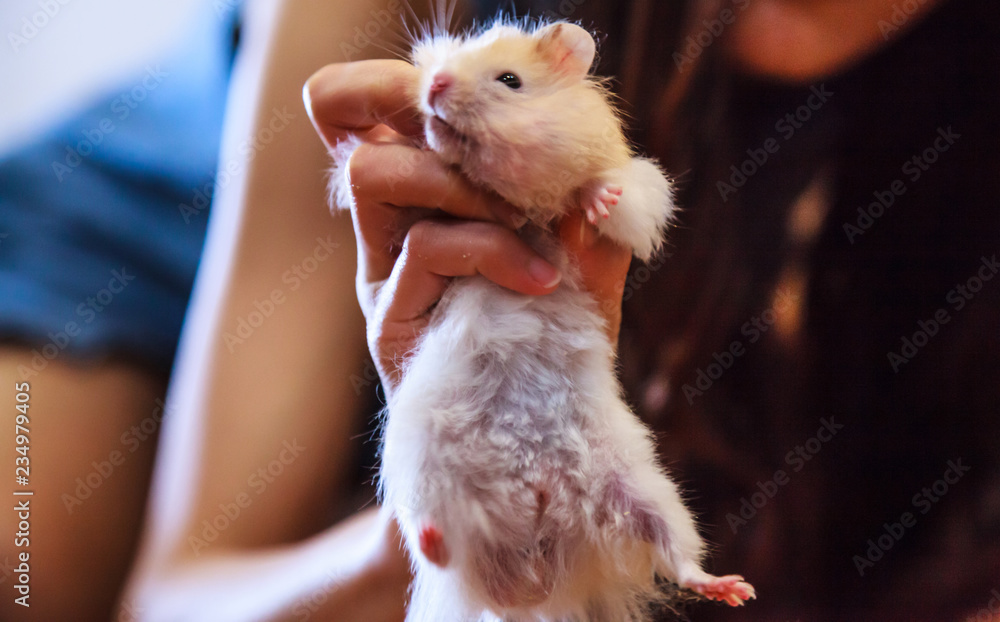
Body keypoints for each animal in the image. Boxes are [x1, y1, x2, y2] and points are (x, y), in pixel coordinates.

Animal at [333, 17, 755, 622]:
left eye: (510, 80)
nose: (434, 85)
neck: (528, 211)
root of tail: (535, 574)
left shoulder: (639, 191)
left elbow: (615, 196)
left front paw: (597, 200)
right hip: (418, 461)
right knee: (438, 546)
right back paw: (439, 536)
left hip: (649, 491)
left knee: (677, 556)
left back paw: (733, 588)